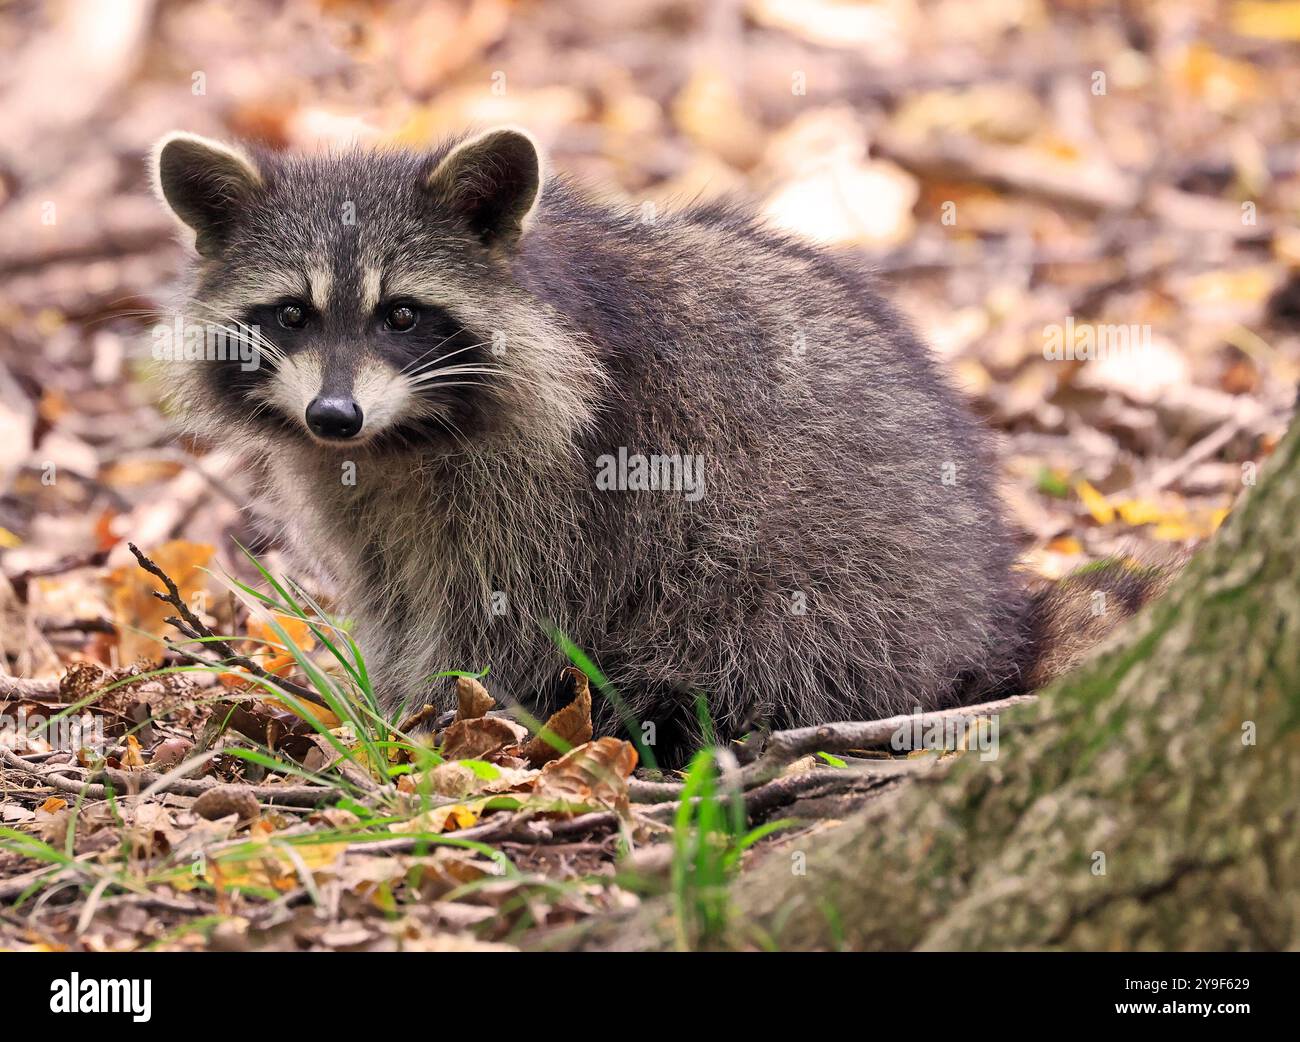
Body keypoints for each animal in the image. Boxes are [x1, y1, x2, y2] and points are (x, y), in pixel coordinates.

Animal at [148, 127, 1153, 764]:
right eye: (291, 313)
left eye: (401, 314)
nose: (333, 415)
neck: (406, 435)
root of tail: (992, 628)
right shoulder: (355, 484)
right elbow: (393, 589)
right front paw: (389, 699)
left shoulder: (559, 478)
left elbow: (507, 608)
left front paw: (436, 714)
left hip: (832, 592)